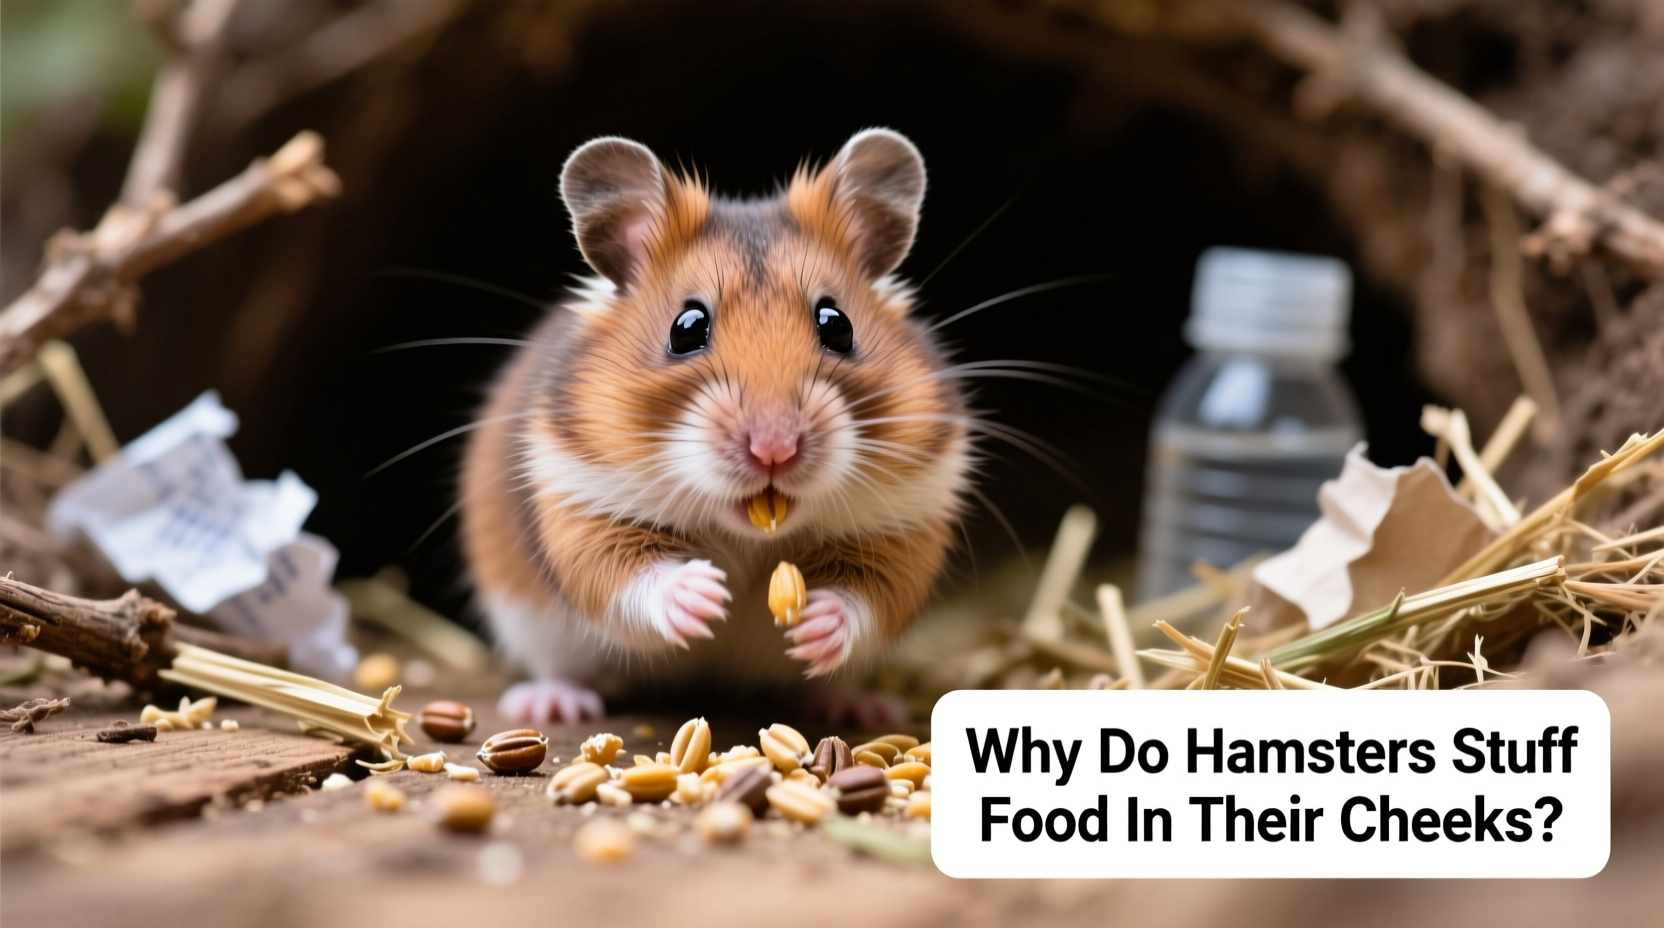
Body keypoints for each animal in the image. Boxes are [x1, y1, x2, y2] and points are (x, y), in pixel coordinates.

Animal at [460, 129, 972, 723]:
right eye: (687, 328)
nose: (774, 449)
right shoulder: (579, 501)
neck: (748, 533)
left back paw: (858, 708)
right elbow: (625, 576)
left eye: (837, 325)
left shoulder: (909, 522)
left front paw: (815, 621)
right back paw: (550, 705)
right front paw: (705, 596)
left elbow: (871, 596)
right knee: (562, 666)